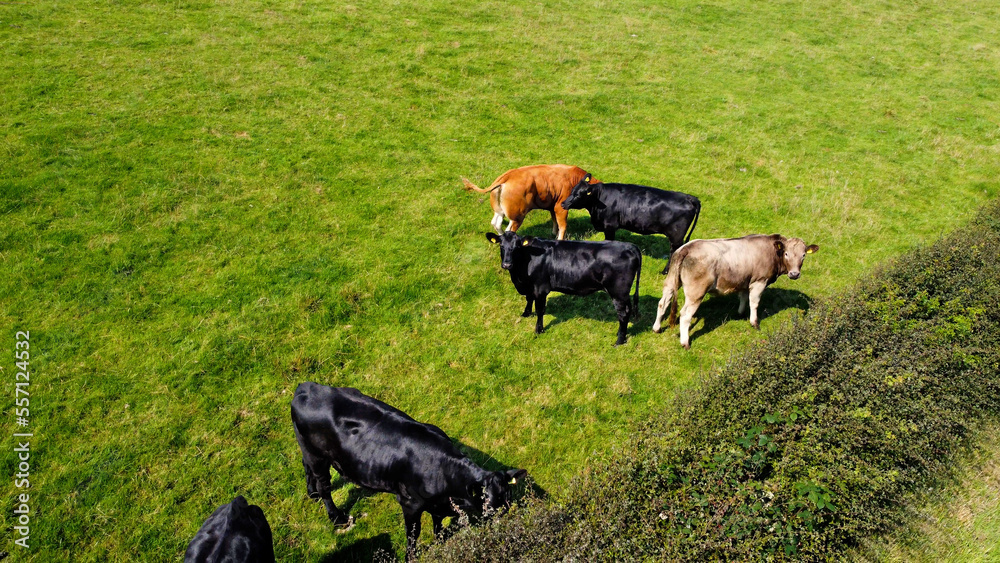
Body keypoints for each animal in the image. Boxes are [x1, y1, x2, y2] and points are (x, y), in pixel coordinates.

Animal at [291, 382, 528, 560]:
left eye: (508, 498)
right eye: (489, 504)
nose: (507, 525)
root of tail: (306, 387)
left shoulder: (437, 504)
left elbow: (437, 524)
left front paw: (441, 543)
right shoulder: (410, 503)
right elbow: (413, 534)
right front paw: (411, 556)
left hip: (307, 450)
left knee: (306, 466)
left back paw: (311, 493)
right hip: (318, 456)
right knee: (325, 486)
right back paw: (337, 517)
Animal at [462, 164, 600, 240]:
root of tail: (509, 175)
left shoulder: (552, 205)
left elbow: (554, 220)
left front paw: (554, 233)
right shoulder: (560, 206)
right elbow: (563, 226)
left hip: (500, 211)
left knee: (496, 223)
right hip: (518, 216)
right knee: (508, 229)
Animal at [486, 231, 642, 346]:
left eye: (517, 247)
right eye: (501, 245)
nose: (506, 264)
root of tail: (631, 246)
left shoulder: (540, 288)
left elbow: (540, 310)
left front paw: (538, 330)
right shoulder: (529, 286)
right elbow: (528, 299)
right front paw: (526, 313)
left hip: (618, 292)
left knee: (623, 314)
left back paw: (619, 341)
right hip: (623, 294)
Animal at [560, 178, 701, 273]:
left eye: (578, 195)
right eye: (572, 191)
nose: (563, 203)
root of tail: (689, 197)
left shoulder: (609, 225)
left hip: (676, 236)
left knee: (674, 251)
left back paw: (665, 271)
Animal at [652, 234, 819, 349]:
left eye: (803, 255)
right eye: (786, 253)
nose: (794, 274)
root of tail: (686, 248)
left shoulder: (745, 281)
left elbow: (744, 298)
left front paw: (740, 313)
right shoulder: (759, 281)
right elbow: (754, 302)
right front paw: (754, 322)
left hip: (671, 282)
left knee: (662, 303)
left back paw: (657, 328)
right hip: (695, 292)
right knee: (685, 315)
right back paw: (685, 342)